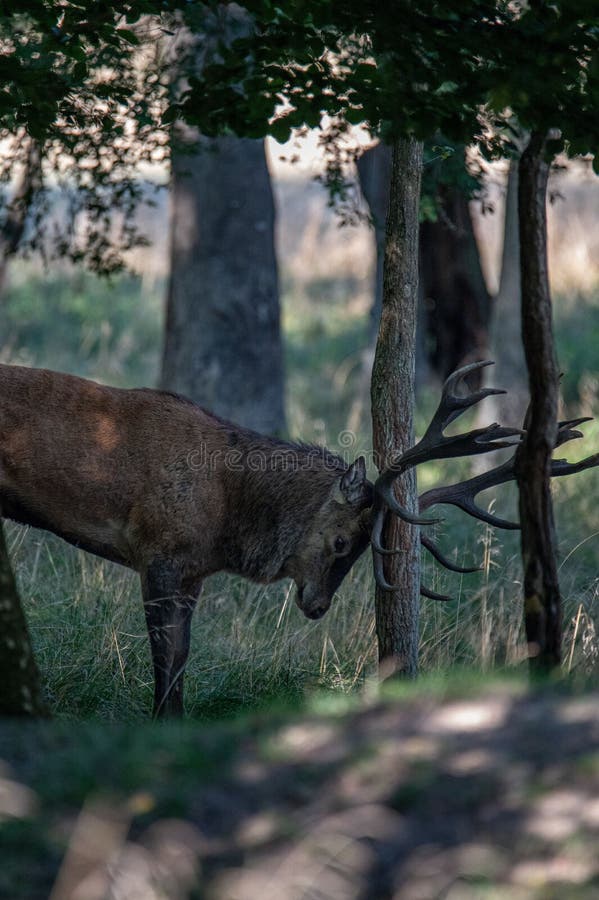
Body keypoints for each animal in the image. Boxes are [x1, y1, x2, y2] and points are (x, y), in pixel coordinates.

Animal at [1, 360, 595, 716]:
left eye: (364, 551)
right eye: (342, 544)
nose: (317, 606)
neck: (224, 518)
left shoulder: (191, 573)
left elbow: (184, 656)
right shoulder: (160, 551)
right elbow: (165, 656)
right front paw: (158, 721)